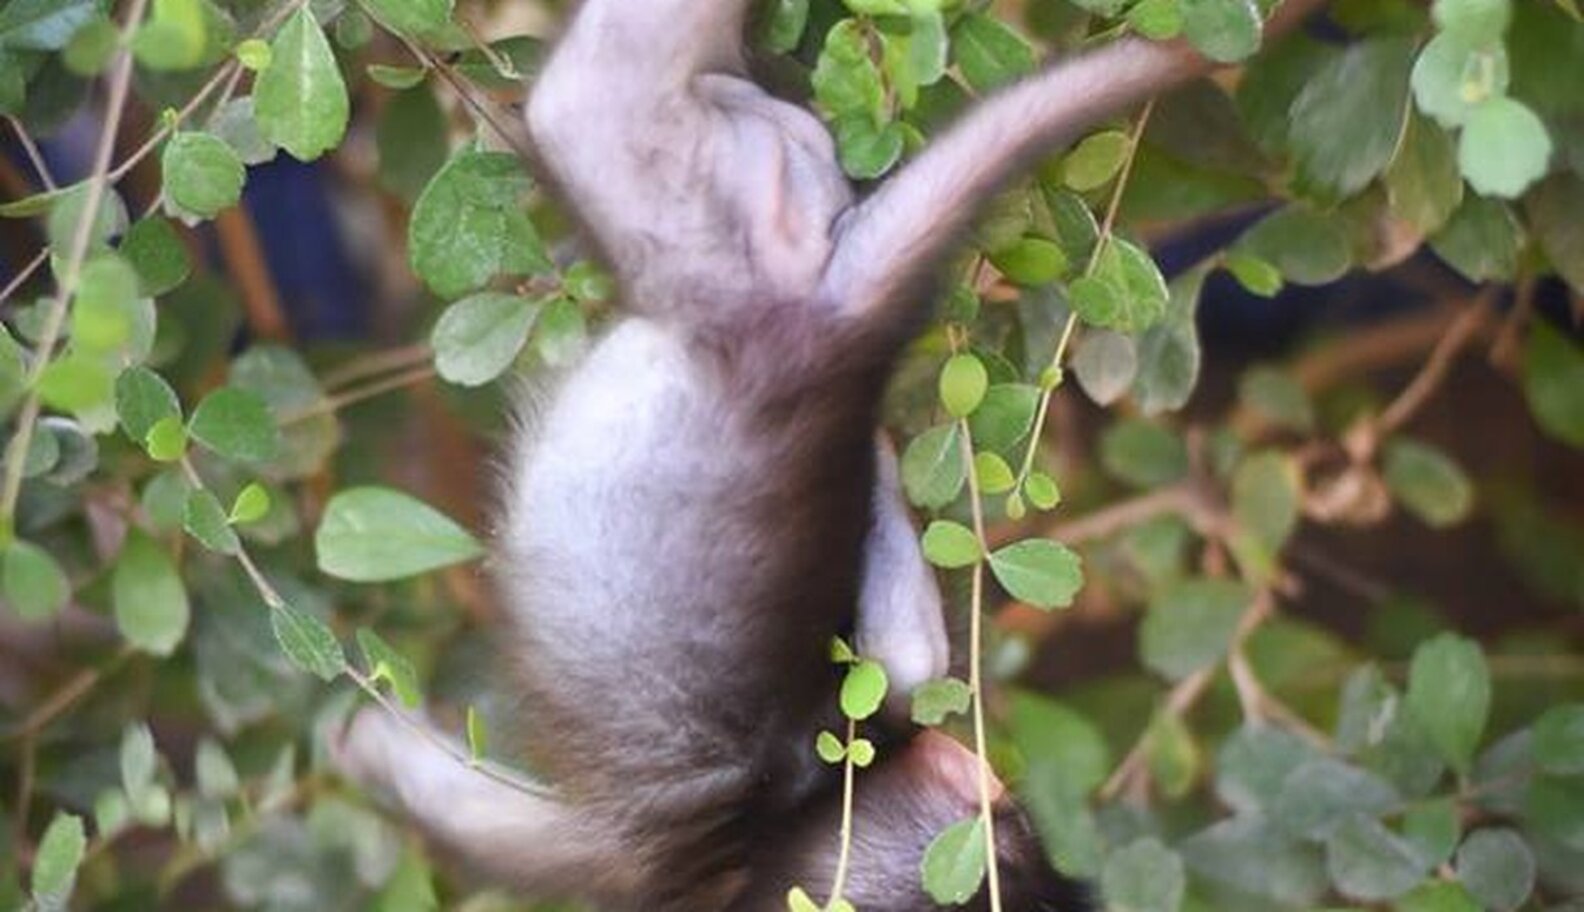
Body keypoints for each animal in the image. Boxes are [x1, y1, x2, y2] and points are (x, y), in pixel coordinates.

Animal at [334, 1, 1326, 909]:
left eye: (1016, 826)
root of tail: (834, 337)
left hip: (719, 251)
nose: (997, 790)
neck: (798, 815)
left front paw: (363, 746)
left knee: (597, 102)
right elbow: (912, 661)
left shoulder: (667, 846)